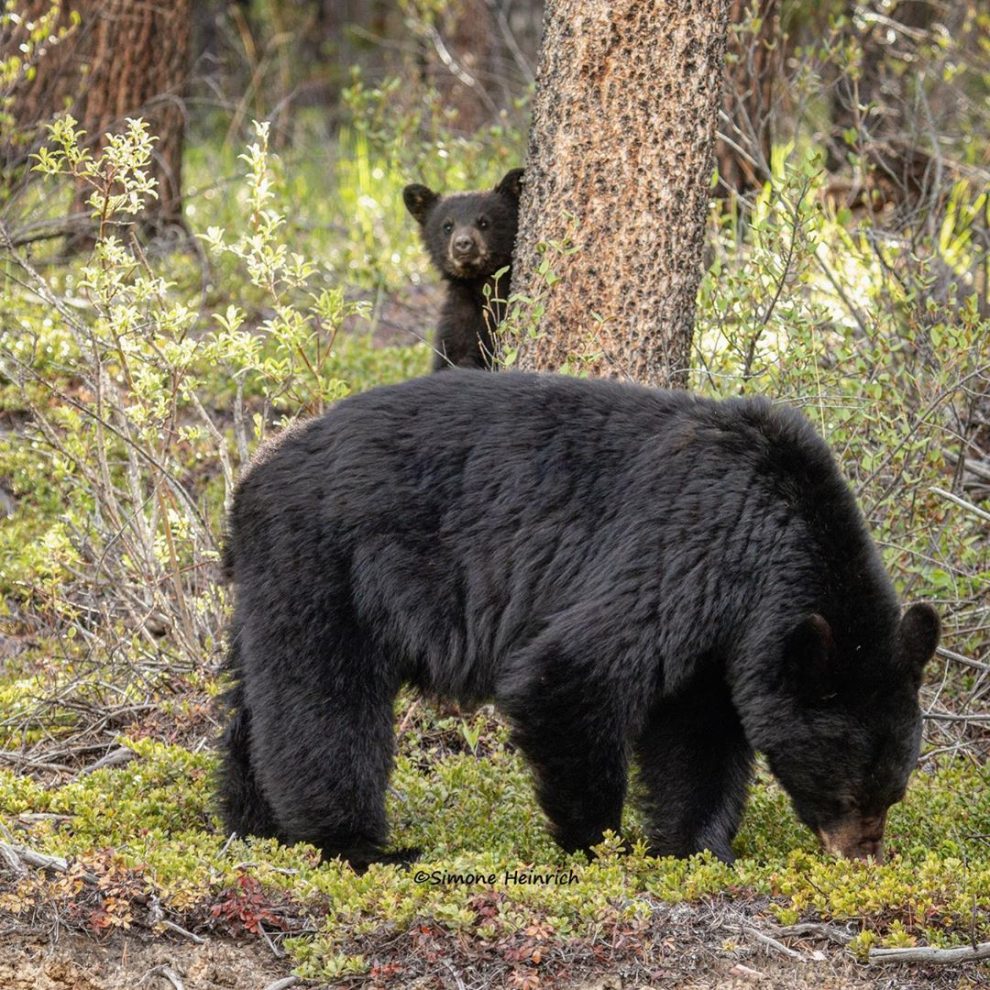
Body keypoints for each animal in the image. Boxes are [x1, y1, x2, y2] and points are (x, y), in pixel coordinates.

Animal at [218, 371, 940, 869]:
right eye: (847, 785)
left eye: (894, 789)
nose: (862, 856)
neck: (764, 531)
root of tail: (255, 475)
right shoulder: (679, 553)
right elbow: (570, 673)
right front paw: (597, 841)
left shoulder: (720, 639)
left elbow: (699, 734)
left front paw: (698, 848)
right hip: (330, 565)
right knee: (323, 701)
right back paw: (355, 843)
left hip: (272, 584)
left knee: (253, 699)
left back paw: (251, 824)